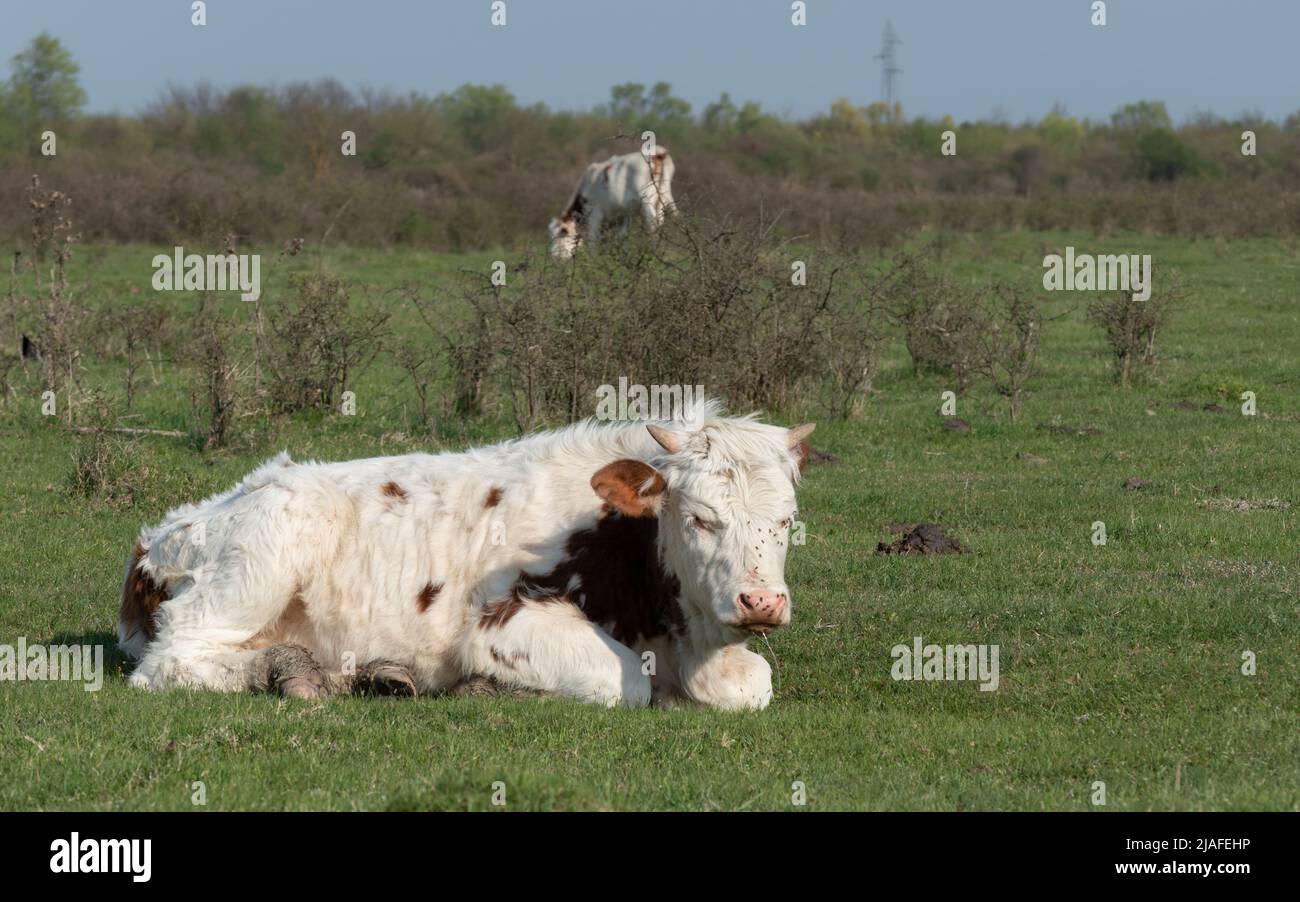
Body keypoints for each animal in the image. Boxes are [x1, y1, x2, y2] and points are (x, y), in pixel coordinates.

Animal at [118, 402, 813, 711]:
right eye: (700, 517)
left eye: (786, 520)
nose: (761, 601)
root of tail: (166, 530)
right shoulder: (502, 621)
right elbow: (628, 682)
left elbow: (753, 683)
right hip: (259, 561)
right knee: (172, 658)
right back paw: (294, 671)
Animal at [548, 147, 676, 259]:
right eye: (550, 234)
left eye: (563, 232)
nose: (554, 256)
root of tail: (659, 152)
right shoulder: (622, 216)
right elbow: (622, 240)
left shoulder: (594, 214)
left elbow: (593, 241)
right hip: (660, 200)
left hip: (646, 201)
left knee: (652, 227)